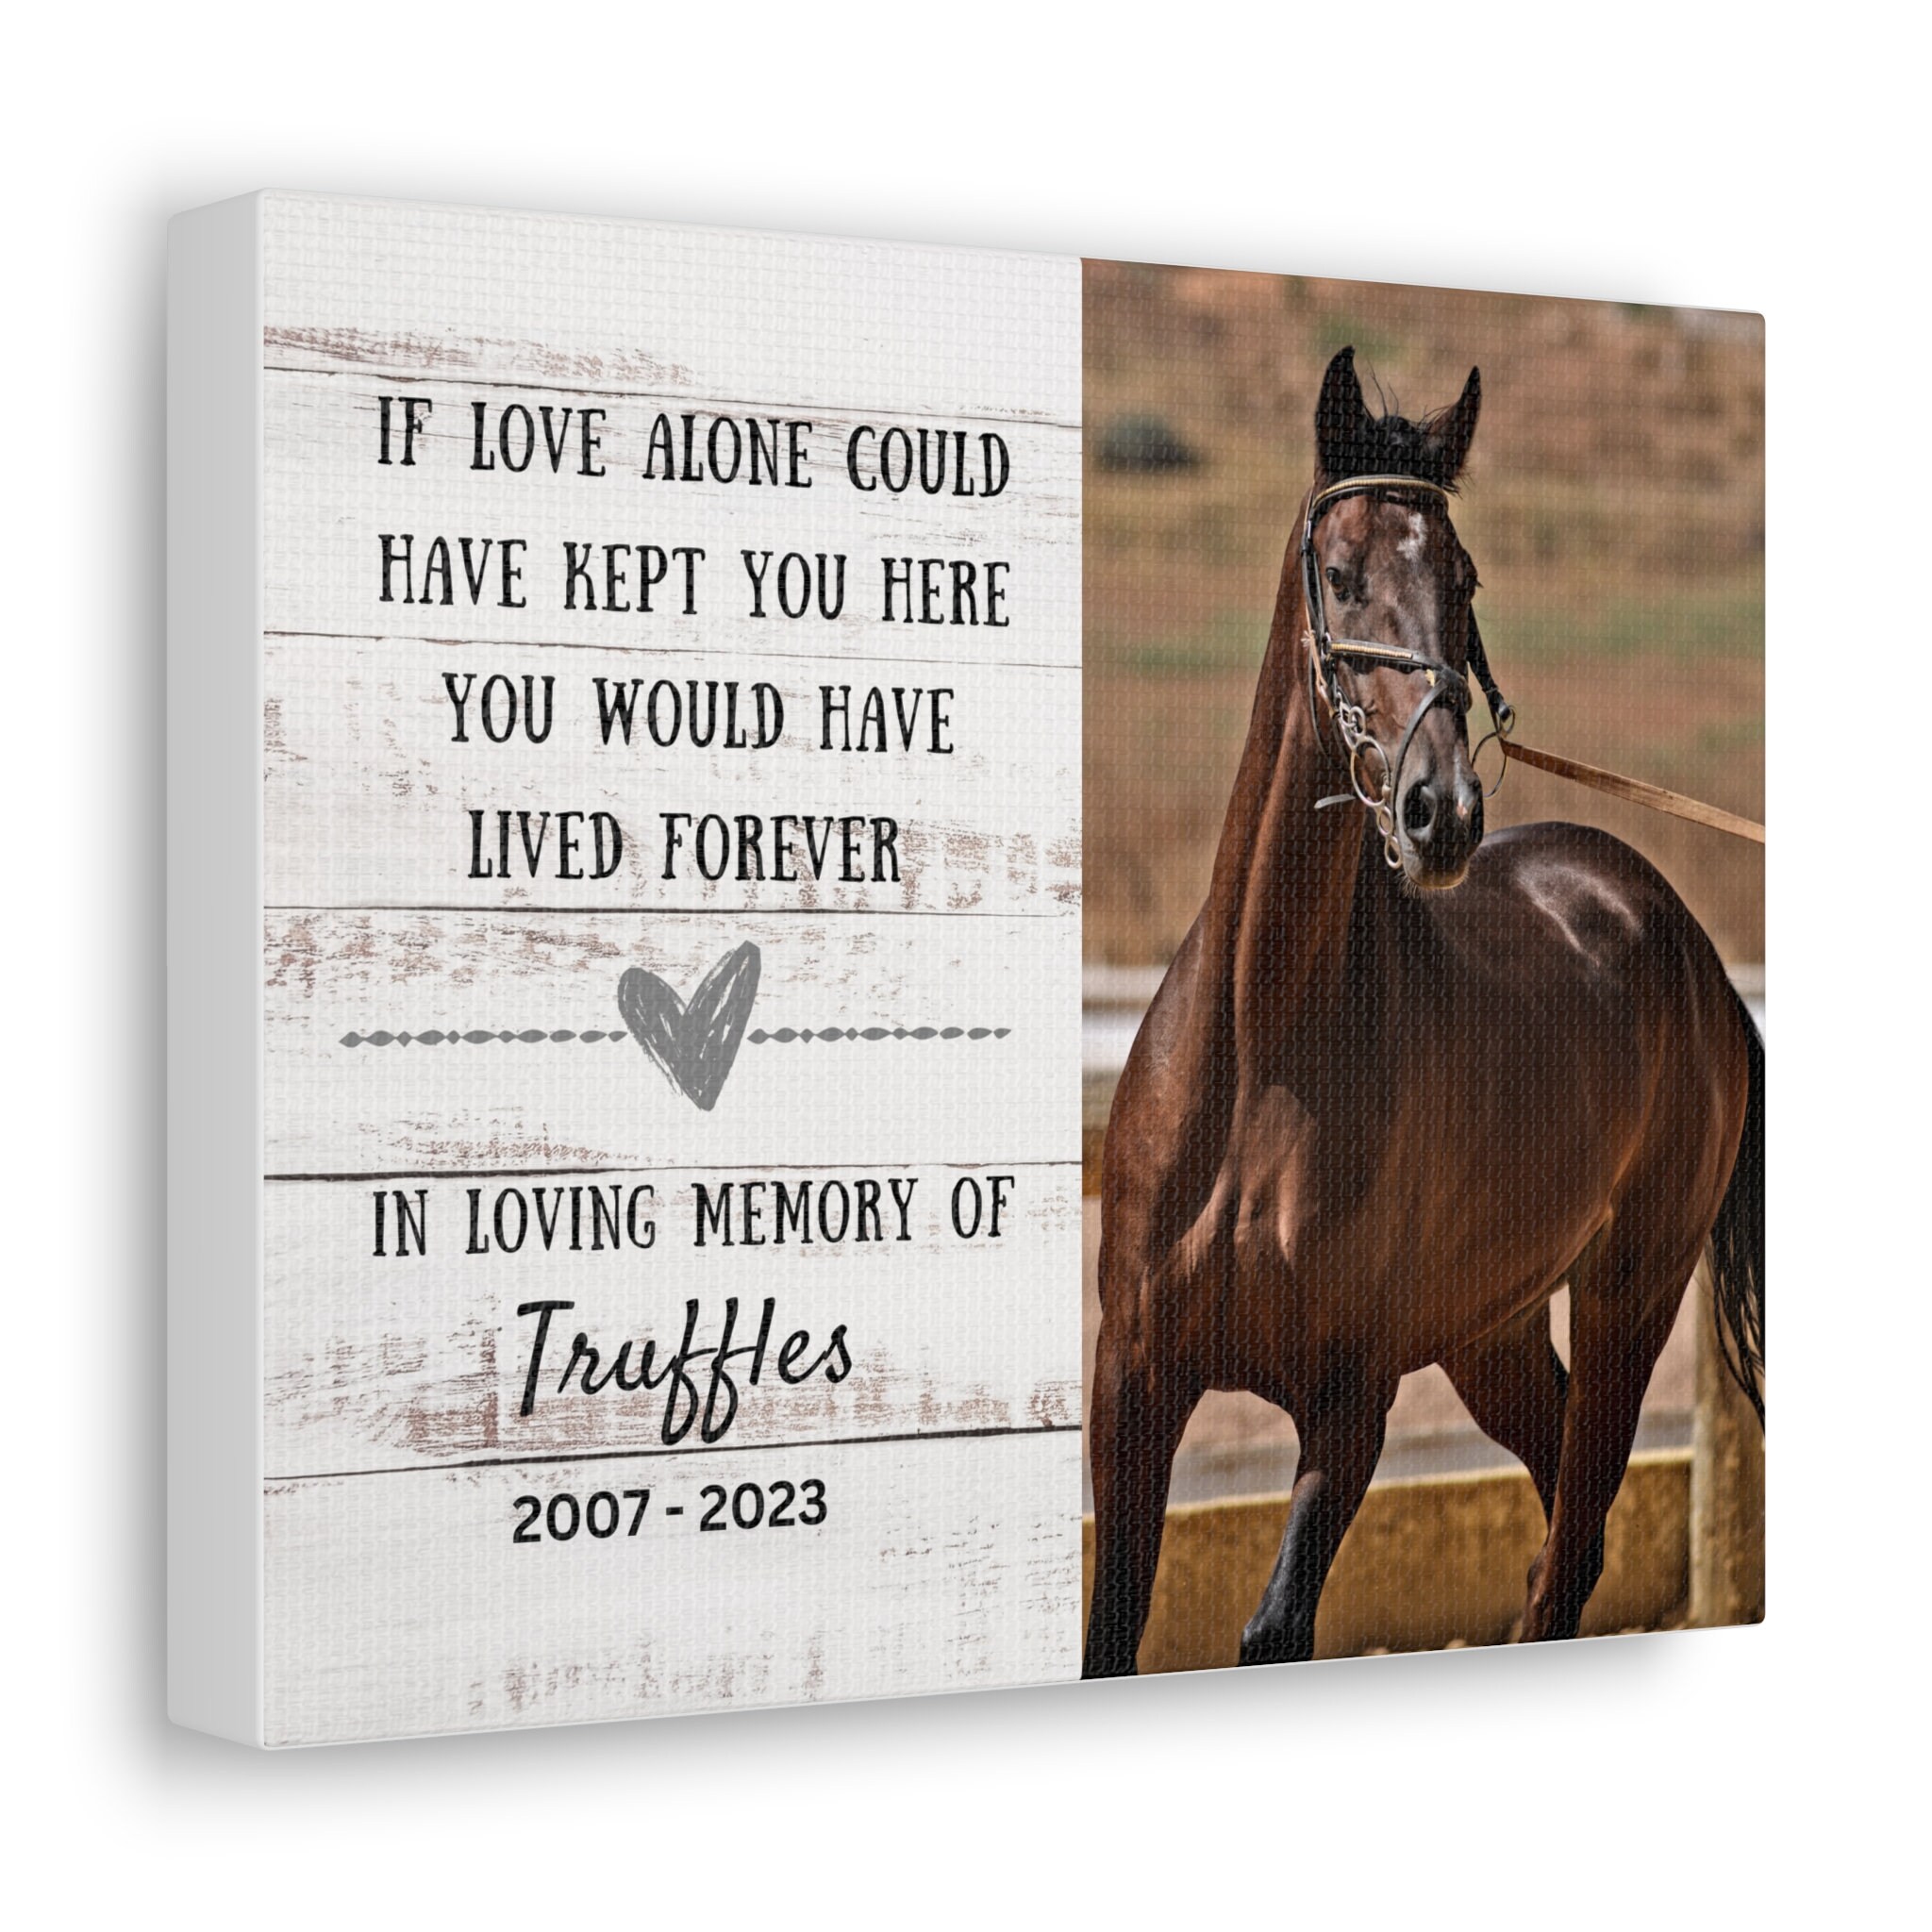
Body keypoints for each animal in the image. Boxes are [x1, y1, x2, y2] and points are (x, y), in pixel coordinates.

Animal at [1084, 346, 1764, 1676]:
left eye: (1461, 579)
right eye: (1340, 573)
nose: (1438, 812)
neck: (1260, 1055)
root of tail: (1692, 951)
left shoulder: (1348, 1401)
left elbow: (1273, 1631)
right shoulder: (1131, 1379)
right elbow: (1109, 1628)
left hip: (1628, 1295)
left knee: (1573, 1539)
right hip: (1486, 1332)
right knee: (1561, 1515)